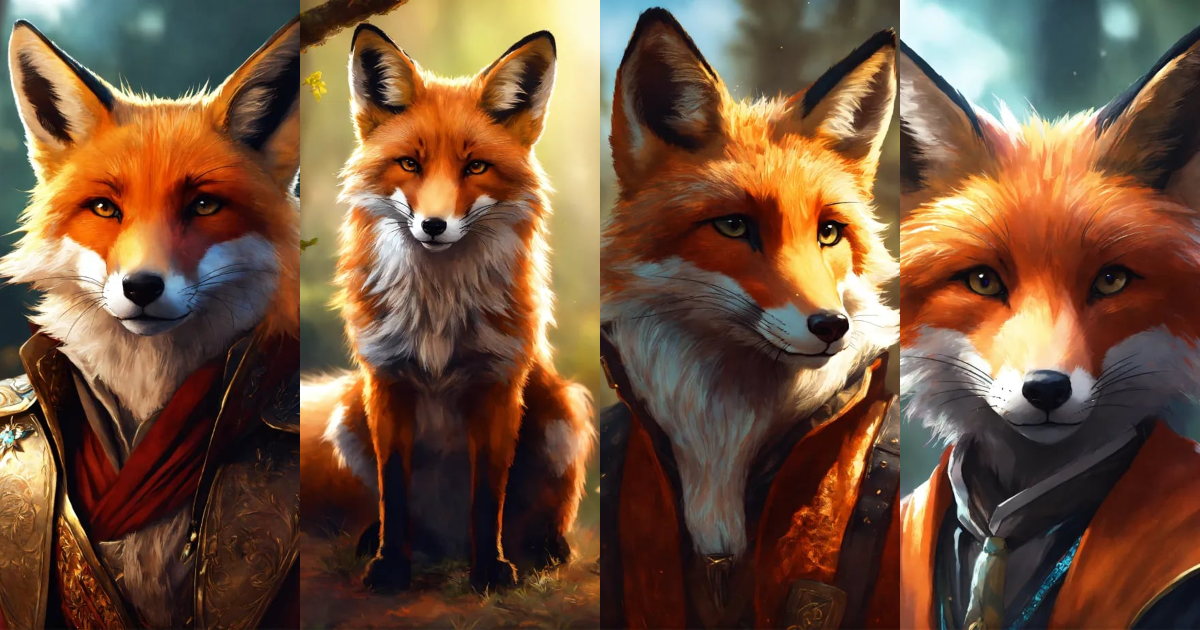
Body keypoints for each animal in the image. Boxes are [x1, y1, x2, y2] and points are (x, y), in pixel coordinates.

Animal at [299, 24, 594, 592]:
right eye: (410, 163)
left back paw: (543, 549)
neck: (437, 311)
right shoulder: (387, 384)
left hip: (564, 414)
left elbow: (487, 500)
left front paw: (491, 571)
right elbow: (394, 494)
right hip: (348, 413)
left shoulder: (498, 387)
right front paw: (390, 567)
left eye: (475, 166)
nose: (433, 226)